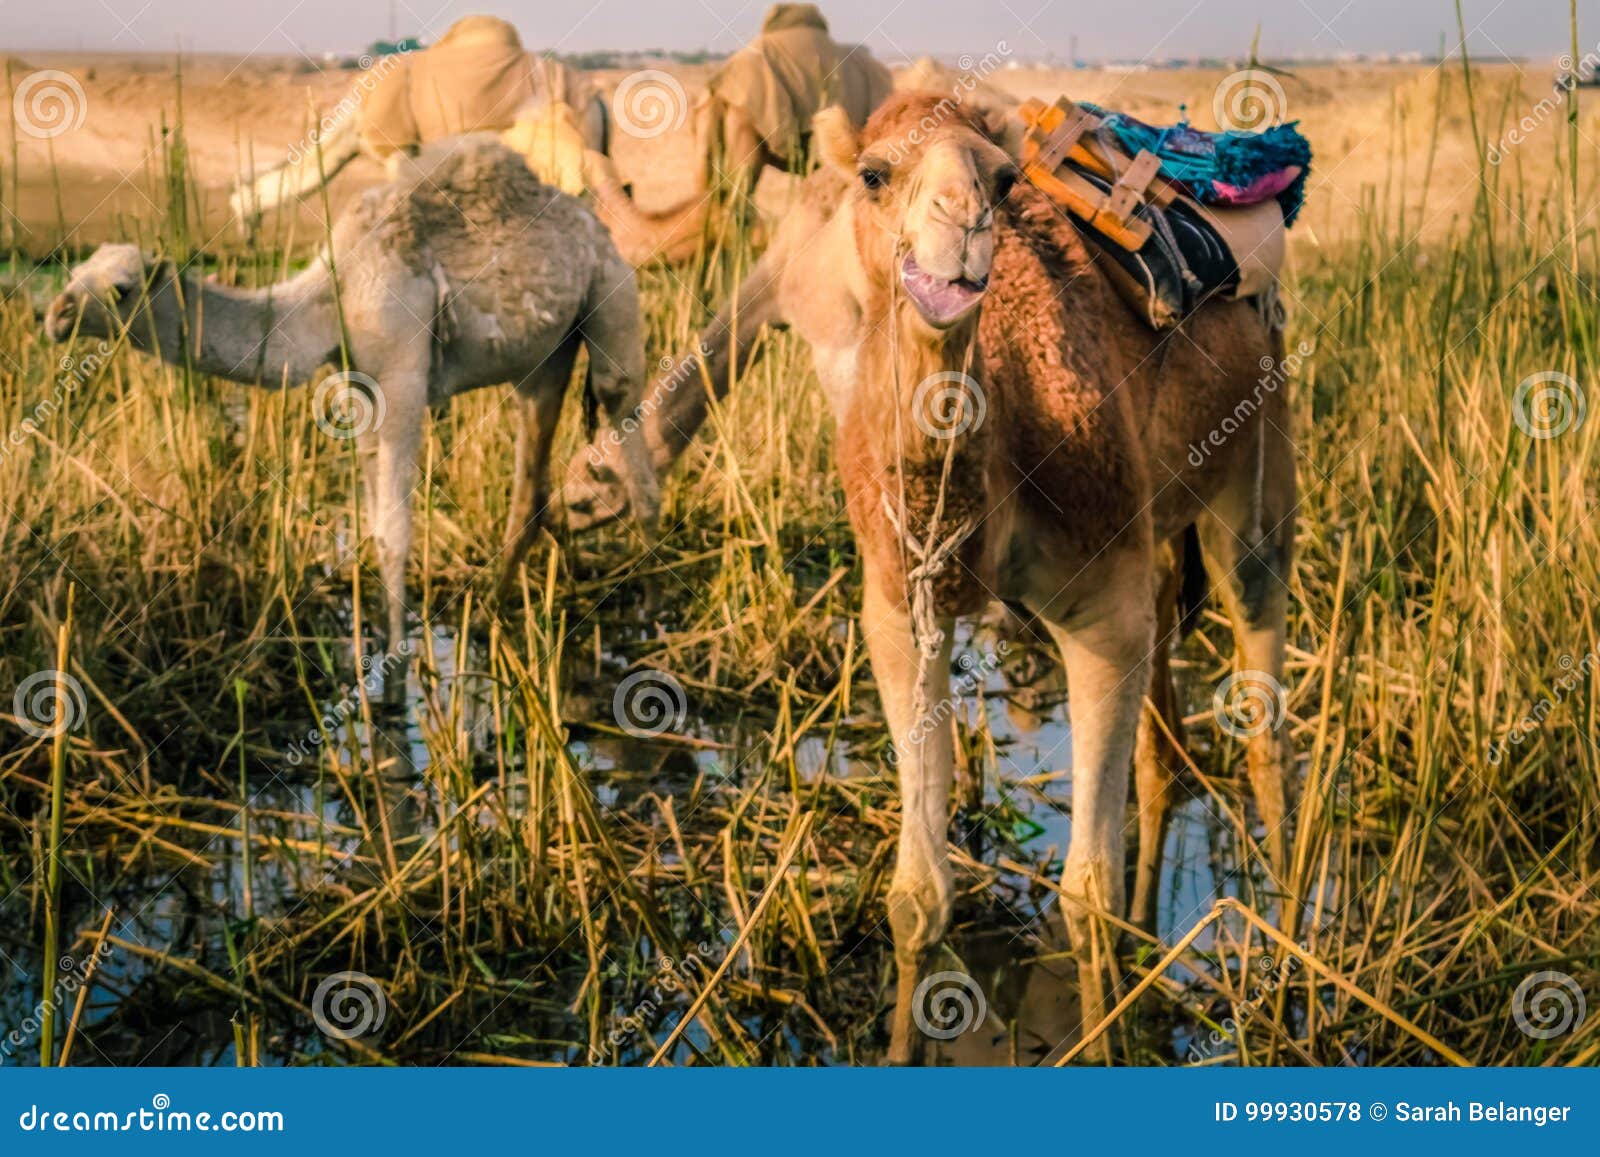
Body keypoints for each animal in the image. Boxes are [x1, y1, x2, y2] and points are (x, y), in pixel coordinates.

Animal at [48, 137, 658, 697]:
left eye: (122, 289)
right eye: (75, 269)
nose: (55, 315)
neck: (331, 294)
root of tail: (595, 225)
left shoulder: (403, 380)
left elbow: (394, 535)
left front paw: (397, 678)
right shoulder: (358, 387)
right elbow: (370, 522)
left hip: (613, 292)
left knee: (631, 435)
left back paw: (651, 623)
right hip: (546, 356)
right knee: (531, 483)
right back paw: (489, 613)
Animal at [564, 94, 1296, 1064]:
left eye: (1003, 179)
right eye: (877, 175)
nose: (962, 225)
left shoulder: (1102, 605)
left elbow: (1086, 900)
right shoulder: (900, 610)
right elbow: (917, 896)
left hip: (1256, 470)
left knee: (1261, 717)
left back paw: (1286, 956)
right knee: (1164, 751)